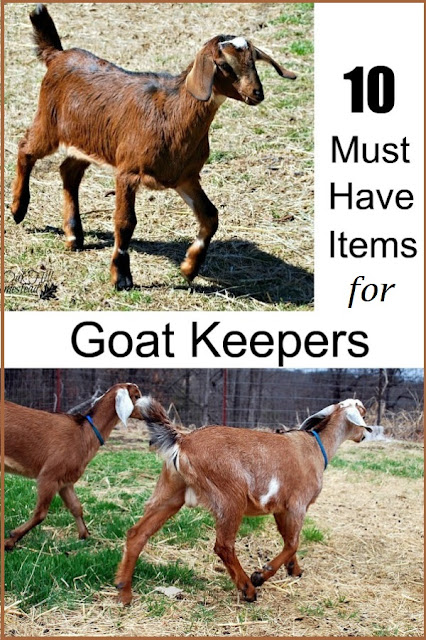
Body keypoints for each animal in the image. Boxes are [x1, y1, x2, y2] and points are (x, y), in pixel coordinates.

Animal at [4, 382, 142, 550]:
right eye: (137, 396)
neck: (83, 434)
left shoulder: (65, 481)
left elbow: (76, 507)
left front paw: (85, 535)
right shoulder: (49, 476)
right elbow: (40, 513)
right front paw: (10, 540)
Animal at [11, 4, 296, 290]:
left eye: (253, 61)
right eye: (224, 64)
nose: (257, 93)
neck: (171, 114)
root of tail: (57, 55)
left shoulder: (184, 176)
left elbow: (210, 216)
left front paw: (189, 268)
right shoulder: (127, 171)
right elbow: (125, 222)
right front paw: (121, 277)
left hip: (88, 141)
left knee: (69, 171)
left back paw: (73, 236)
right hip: (48, 123)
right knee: (26, 148)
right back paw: (18, 210)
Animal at [115, 397, 371, 604]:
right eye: (364, 412)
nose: (364, 435)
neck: (316, 447)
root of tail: (182, 441)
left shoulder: (280, 508)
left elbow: (289, 541)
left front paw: (294, 570)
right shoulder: (296, 505)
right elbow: (293, 542)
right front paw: (261, 575)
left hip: (170, 492)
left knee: (137, 533)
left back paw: (124, 592)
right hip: (230, 497)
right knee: (223, 545)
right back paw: (248, 589)